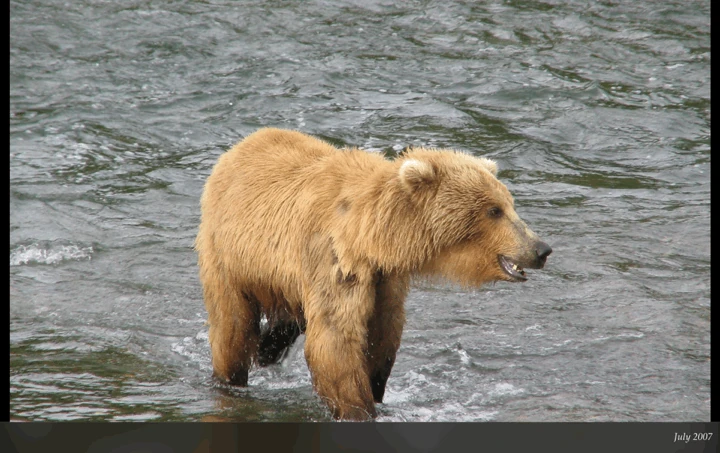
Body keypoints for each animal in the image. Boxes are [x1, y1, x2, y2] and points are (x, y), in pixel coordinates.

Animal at [195, 128, 551, 421]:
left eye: (509, 204)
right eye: (494, 210)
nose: (541, 249)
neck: (374, 237)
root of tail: (239, 146)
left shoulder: (385, 279)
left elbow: (383, 334)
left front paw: (377, 389)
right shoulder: (336, 261)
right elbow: (336, 339)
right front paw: (360, 409)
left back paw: (269, 347)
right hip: (227, 256)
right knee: (232, 325)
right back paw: (232, 376)